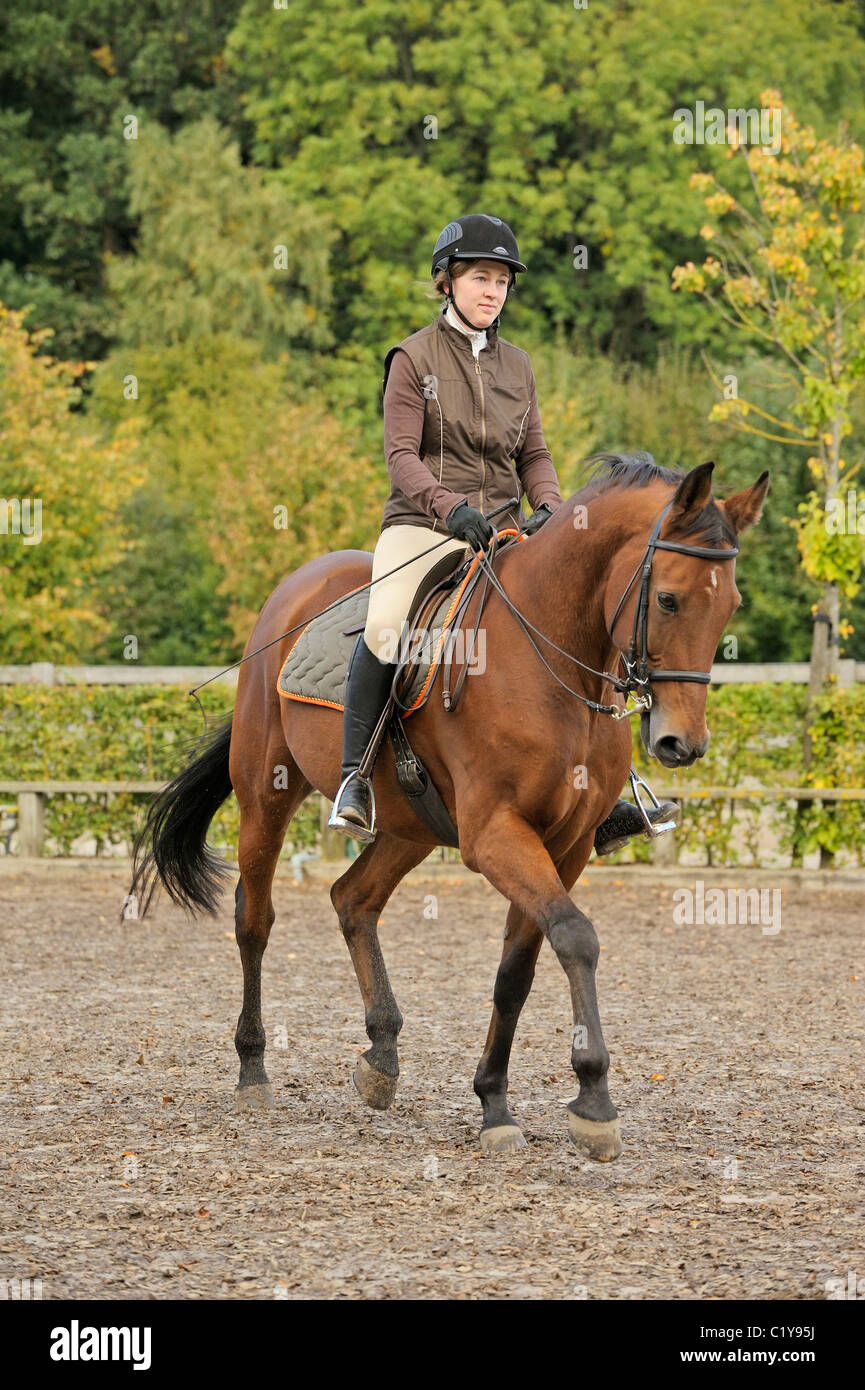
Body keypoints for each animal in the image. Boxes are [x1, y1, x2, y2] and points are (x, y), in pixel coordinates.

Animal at [128, 454, 768, 1161]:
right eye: (668, 599)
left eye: (731, 605)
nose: (682, 743)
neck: (551, 659)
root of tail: (297, 585)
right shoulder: (496, 836)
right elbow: (576, 937)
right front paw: (594, 1102)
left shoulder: (566, 846)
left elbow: (519, 968)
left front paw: (494, 1101)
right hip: (266, 794)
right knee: (255, 919)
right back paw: (253, 1070)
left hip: (409, 825)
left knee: (354, 899)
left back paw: (381, 1057)